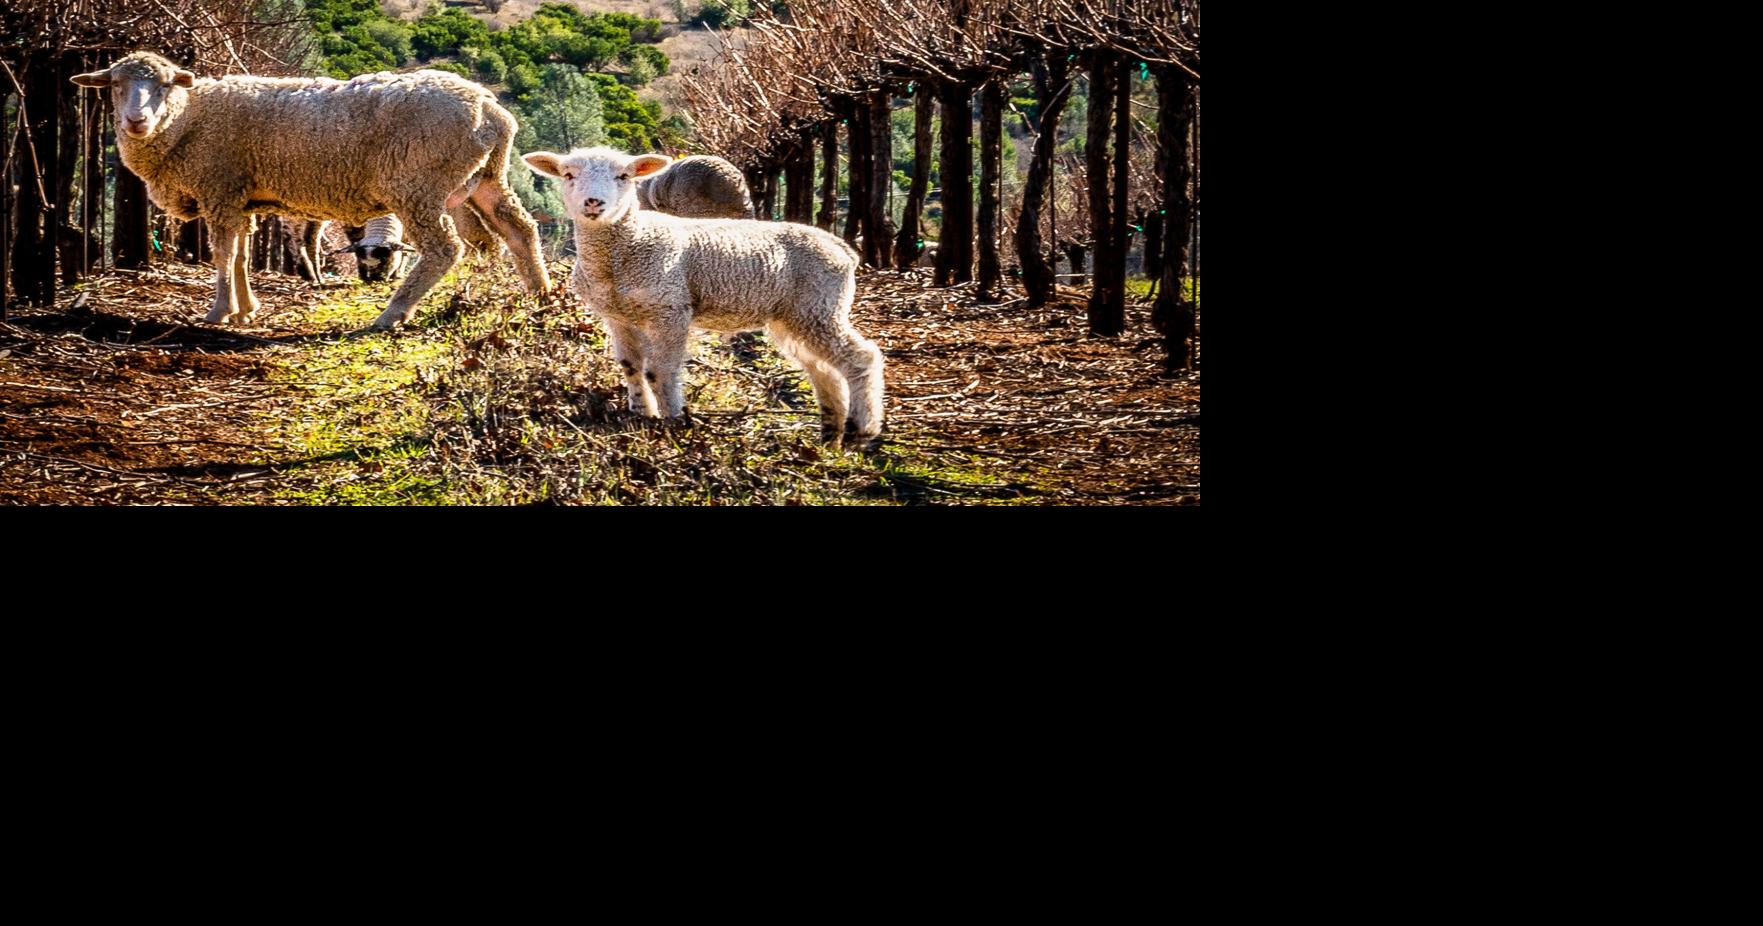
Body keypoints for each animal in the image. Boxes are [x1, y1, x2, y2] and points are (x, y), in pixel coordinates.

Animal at [71, 52, 548, 329]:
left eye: (164, 85)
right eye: (116, 85)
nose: (136, 122)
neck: (187, 119)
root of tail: (489, 107)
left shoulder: (219, 189)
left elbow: (224, 254)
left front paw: (219, 311)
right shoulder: (241, 198)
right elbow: (242, 254)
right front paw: (247, 309)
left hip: (418, 184)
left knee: (445, 248)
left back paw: (392, 313)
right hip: (485, 178)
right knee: (518, 229)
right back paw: (540, 296)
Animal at [524, 147, 885, 448]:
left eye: (623, 176)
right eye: (568, 175)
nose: (593, 202)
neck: (622, 252)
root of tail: (842, 248)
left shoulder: (670, 307)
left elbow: (660, 371)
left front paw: (671, 421)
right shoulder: (617, 315)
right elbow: (631, 366)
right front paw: (641, 413)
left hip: (820, 304)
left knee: (861, 357)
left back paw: (860, 429)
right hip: (796, 316)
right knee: (823, 369)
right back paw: (829, 435)